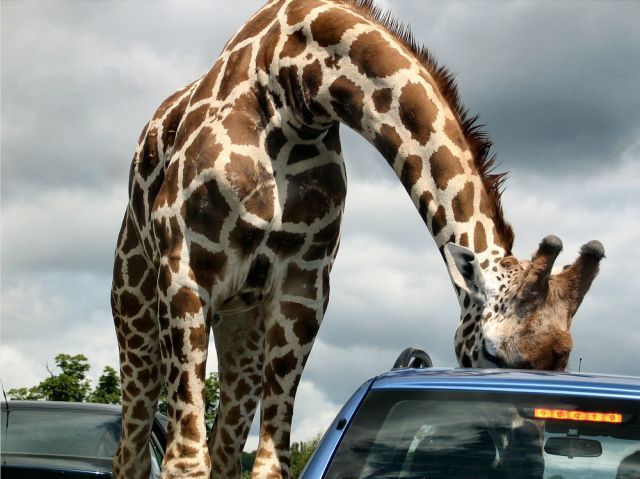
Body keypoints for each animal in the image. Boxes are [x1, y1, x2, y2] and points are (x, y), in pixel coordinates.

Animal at [110, 1, 605, 478]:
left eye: (562, 360)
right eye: (489, 352)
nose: (531, 460)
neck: (296, 93)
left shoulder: (303, 286)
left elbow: (269, 462)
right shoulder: (188, 269)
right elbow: (184, 461)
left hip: (241, 324)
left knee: (227, 448)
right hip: (137, 300)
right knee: (132, 449)